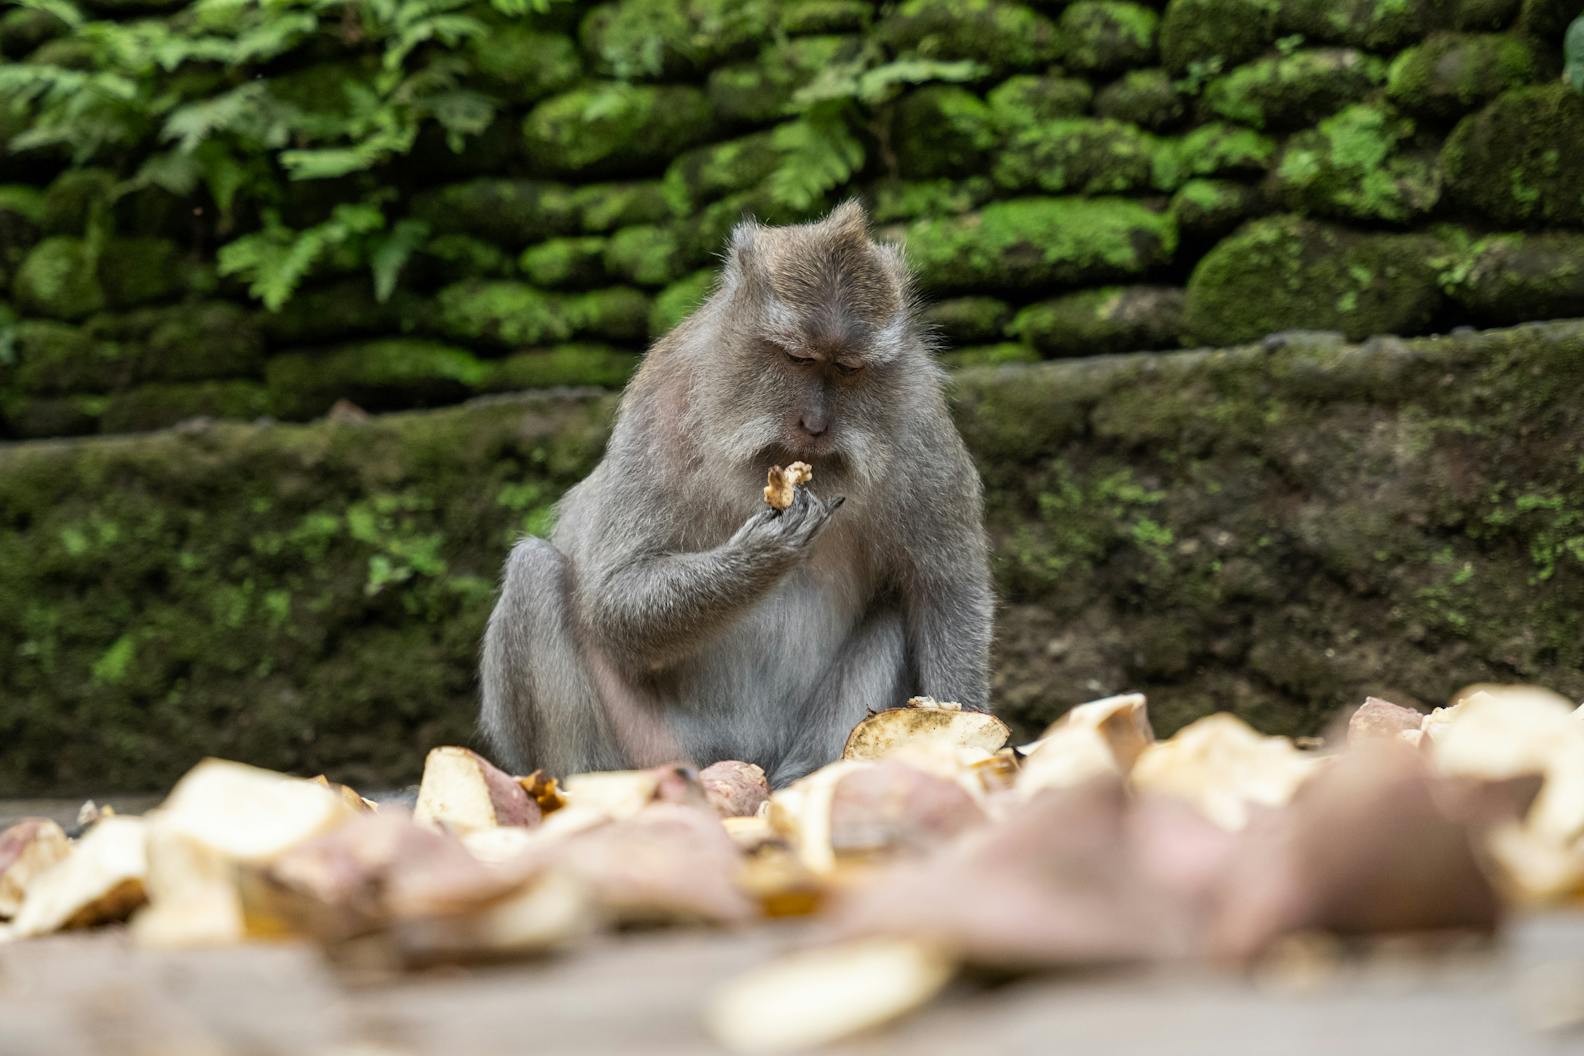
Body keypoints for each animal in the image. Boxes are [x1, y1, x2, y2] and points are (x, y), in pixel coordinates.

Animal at [479, 201, 993, 787]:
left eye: (847, 369)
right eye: (797, 359)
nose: (814, 425)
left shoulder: (920, 421)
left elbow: (945, 589)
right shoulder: (665, 396)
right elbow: (614, 602)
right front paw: (764, 553)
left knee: (895, 607)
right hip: (659, 746)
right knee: (534, 571)